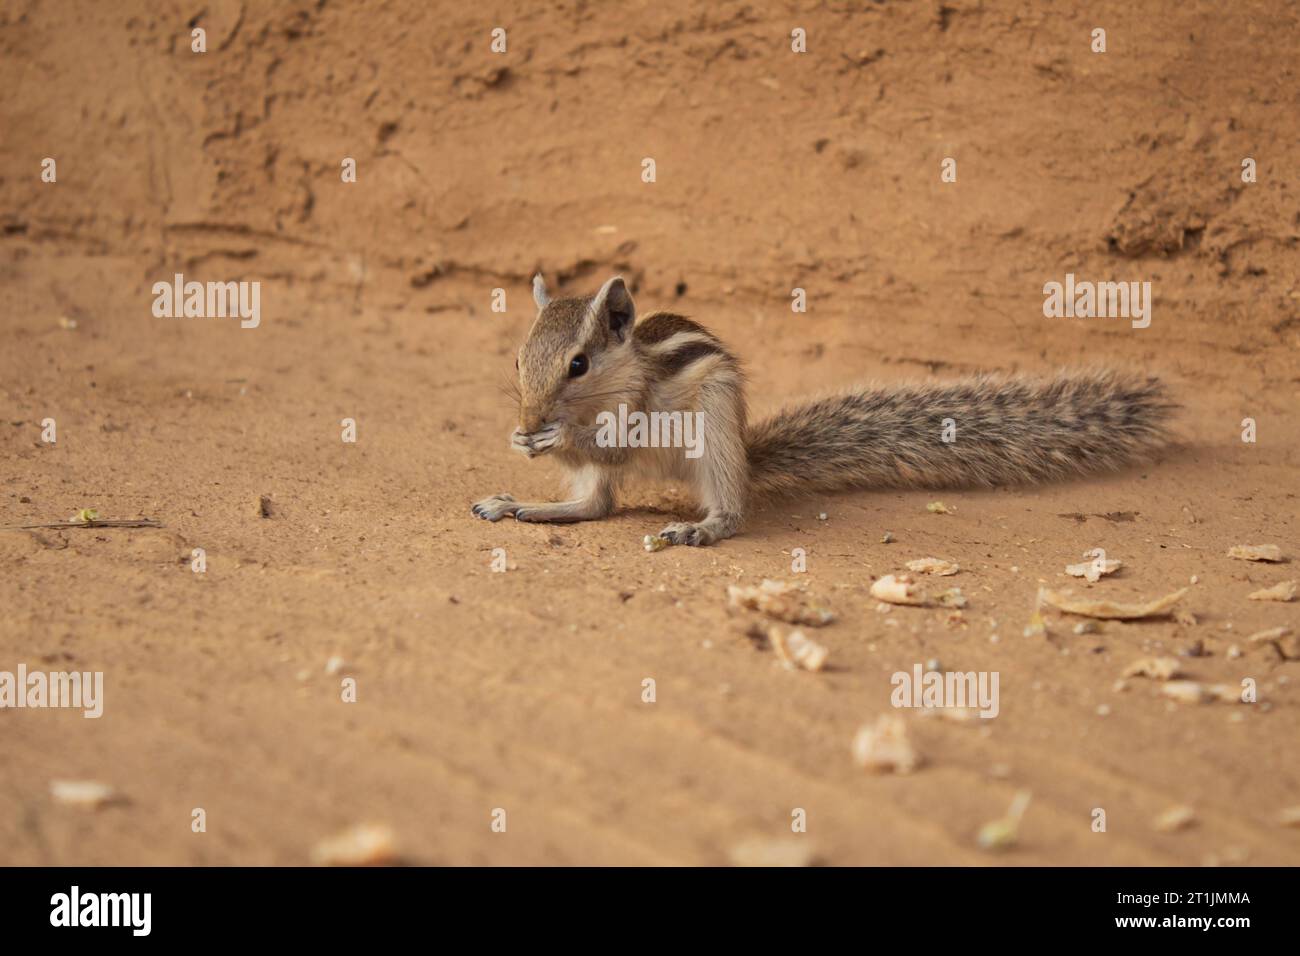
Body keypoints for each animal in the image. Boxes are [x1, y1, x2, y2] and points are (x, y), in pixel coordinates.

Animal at [472, 274, 1174, 547]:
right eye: (518, 361)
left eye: (578, 365)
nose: (530, 420)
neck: (625, 371)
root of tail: (747, 456)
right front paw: (520, 439)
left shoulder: (644, 410)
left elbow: (613, 443)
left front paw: (556, 434)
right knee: (595, 504)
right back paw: (524, 505)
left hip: (717, 436)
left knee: (726, 511)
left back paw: (703, 528)